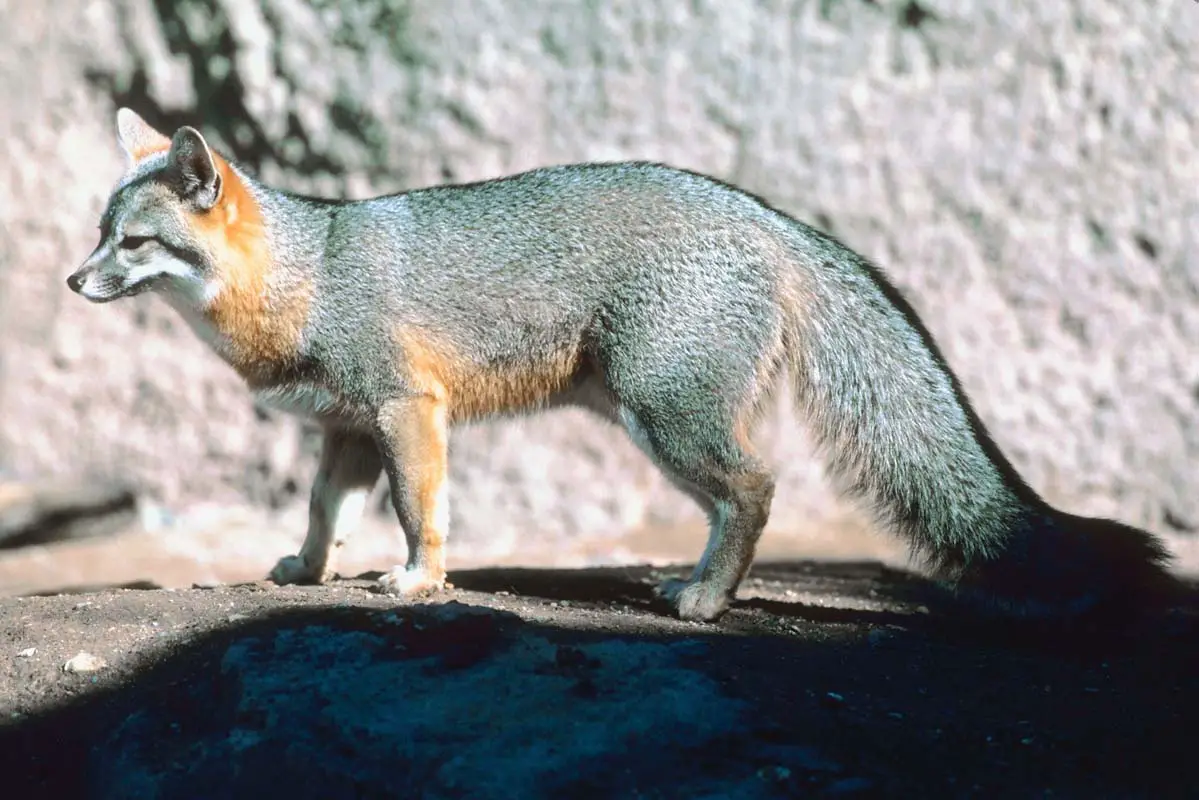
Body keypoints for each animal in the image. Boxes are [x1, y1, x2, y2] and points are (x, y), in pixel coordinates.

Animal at [66, 108, 1176, 622]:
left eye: (132, 245)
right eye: (98, 233)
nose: (73, 280)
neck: (309, 272)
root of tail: (769, 217)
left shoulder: (405, 406)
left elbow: (419, 509)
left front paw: (420, 580)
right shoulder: (347, 424)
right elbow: (320, 509)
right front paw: (304, 568)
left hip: (664, 418)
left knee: (755, 488)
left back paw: (706, 601)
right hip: (651, 420)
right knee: (739, 496)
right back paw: (695, 582)